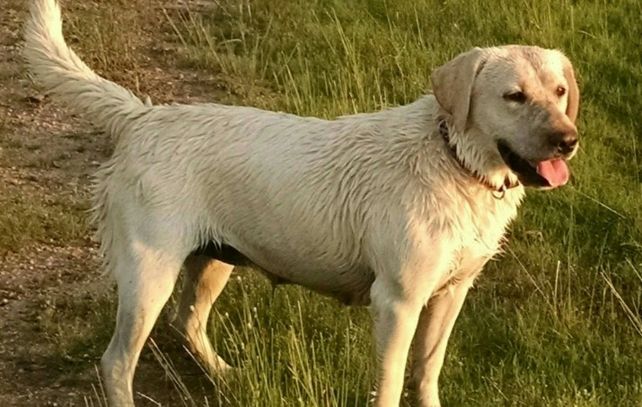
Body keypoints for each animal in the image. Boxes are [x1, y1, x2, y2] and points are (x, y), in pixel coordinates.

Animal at [25, 0, 576, 404]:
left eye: (559, 91)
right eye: (513, 96)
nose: (568, 141)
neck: (453, 158)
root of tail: (143, 116)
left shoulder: (451, 294)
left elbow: (426, 373)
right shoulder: (397, 303)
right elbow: (392, 383)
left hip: (214, 259)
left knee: (188, 322)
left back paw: (226, 374)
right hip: (149, 272)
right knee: (118, 361)